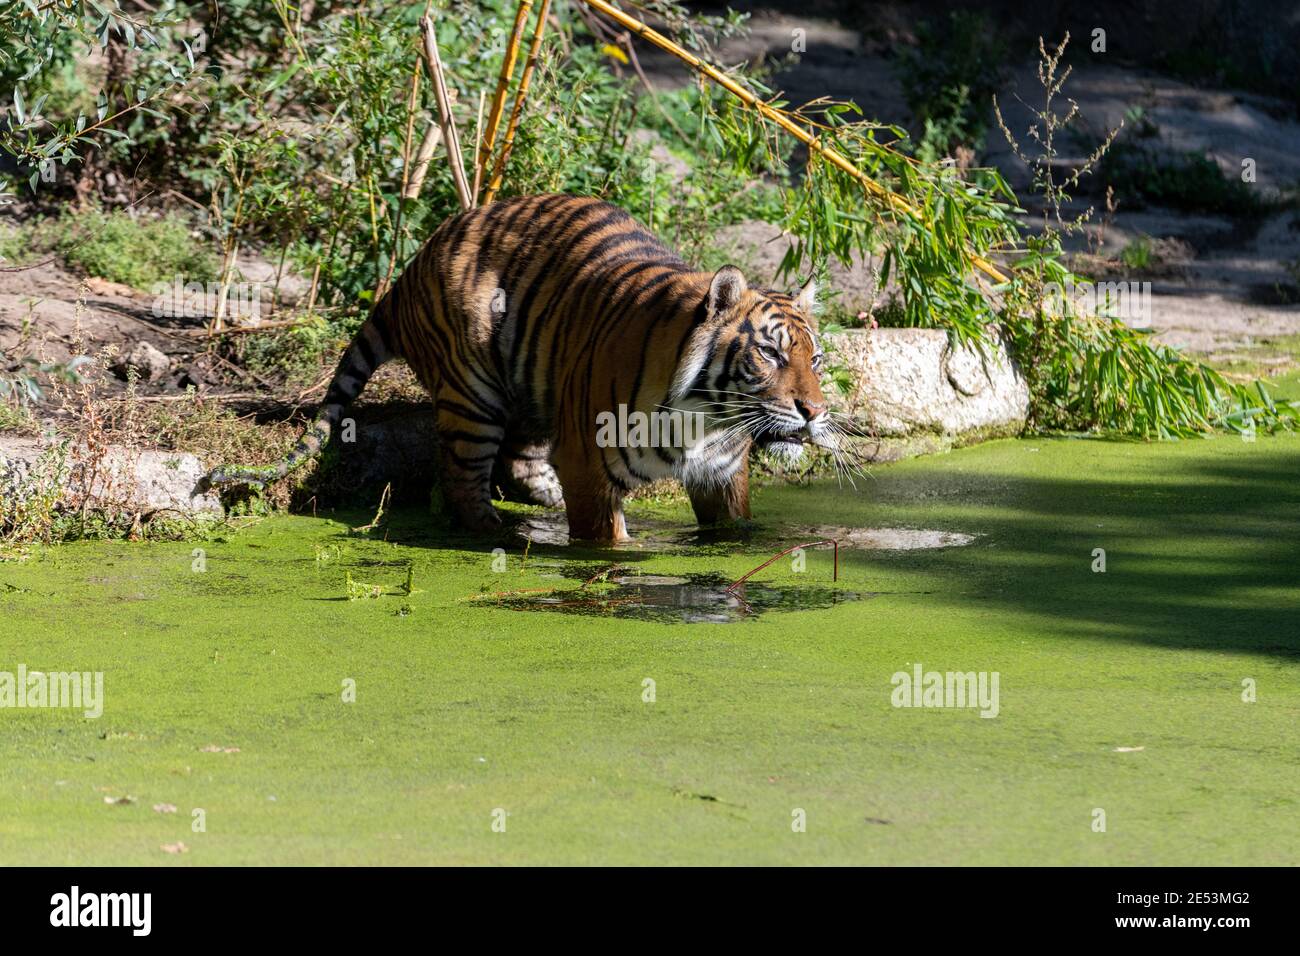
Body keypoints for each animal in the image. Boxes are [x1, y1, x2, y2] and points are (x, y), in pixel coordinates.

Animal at [207, 194, 832, 541]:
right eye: (771, 354)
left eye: (816, 358)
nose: (815, 411)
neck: (705, 417)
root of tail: (412, 267)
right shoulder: (591, 463)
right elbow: (608, 540)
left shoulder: (722, 475)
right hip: (473, 392)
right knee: (462, 478)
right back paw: (495, 532)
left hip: (537, 383)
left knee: (521, 460)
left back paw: (545, 504)